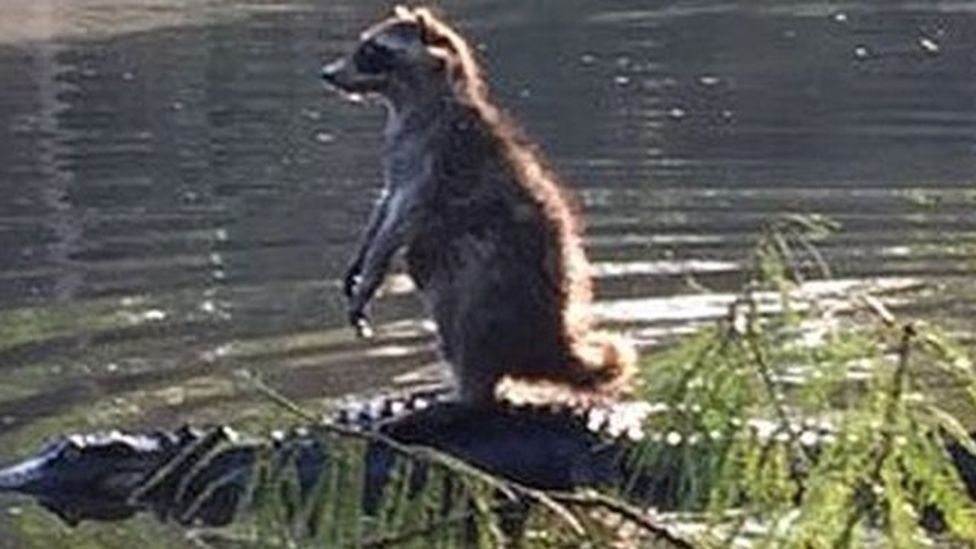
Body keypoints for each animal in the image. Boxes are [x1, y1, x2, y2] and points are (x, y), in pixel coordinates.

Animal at [322, 6, 636, 405]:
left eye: (371, 50)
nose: (327, 73)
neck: (409, 101)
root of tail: (550, 345)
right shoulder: (400, 154)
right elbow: (385, 203)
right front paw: (360, 259)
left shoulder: (434, 156)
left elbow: (401, 218)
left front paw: (371, 275)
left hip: (496, 287)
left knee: (465, 301)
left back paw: (466, 388)